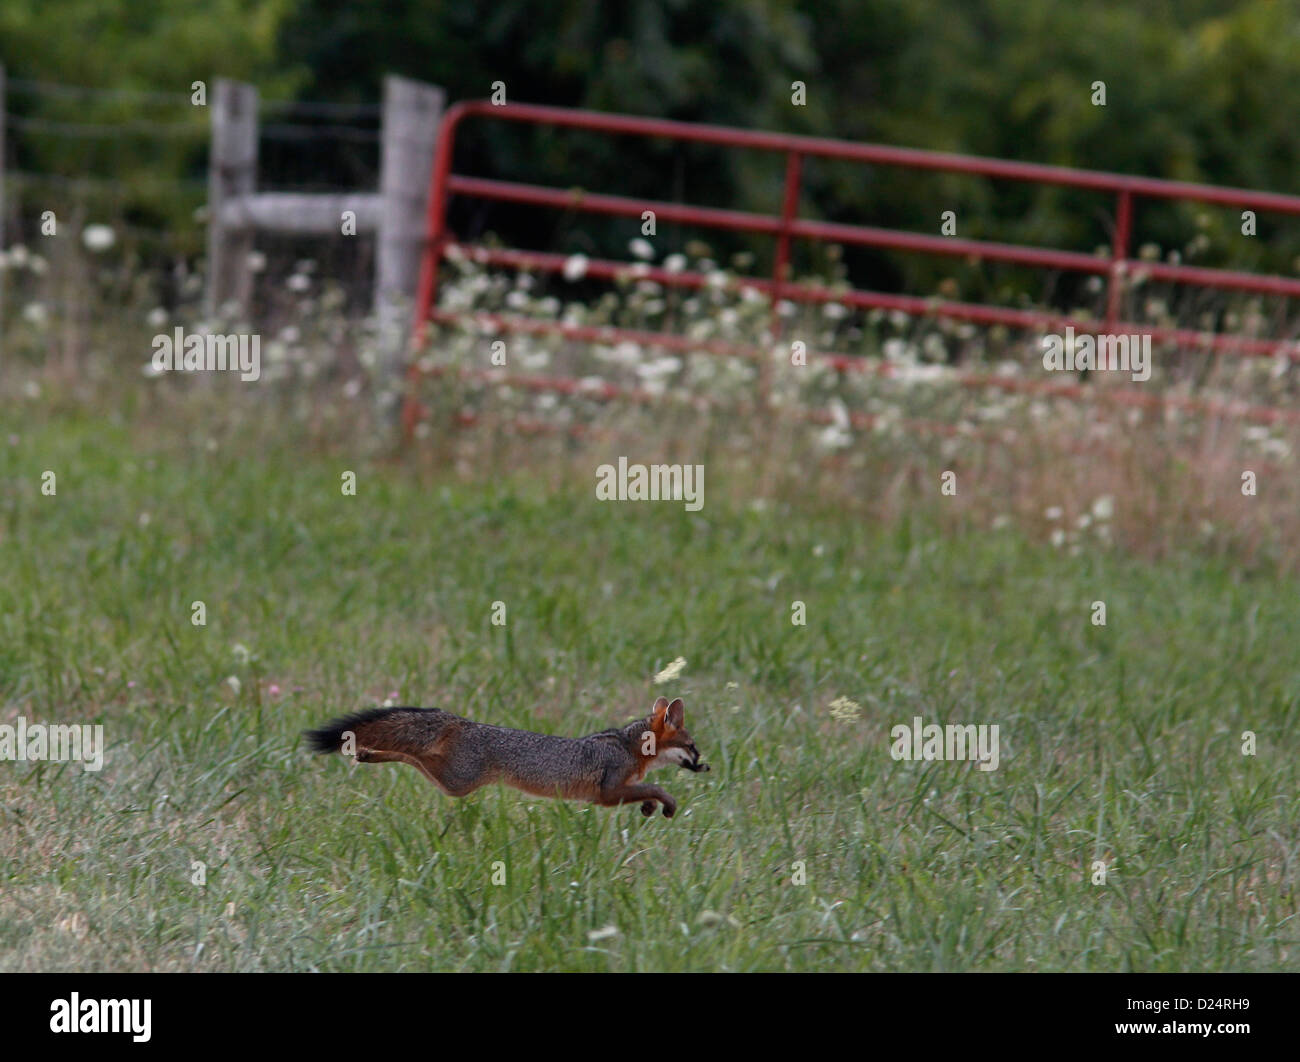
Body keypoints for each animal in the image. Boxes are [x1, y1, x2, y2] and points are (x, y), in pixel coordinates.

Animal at [305, 695, 708, 818]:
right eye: (693, 747)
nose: (706, 765)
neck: (626, 745)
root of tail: (464, 721)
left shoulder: (614, 791)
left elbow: (645, 789)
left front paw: (650, 807)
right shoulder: (606, 793)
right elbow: (655, 786)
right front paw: (665, 803)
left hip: (455, 782)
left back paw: (367, 753)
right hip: (457, 783)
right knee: (414, 757)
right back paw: (369, 753)